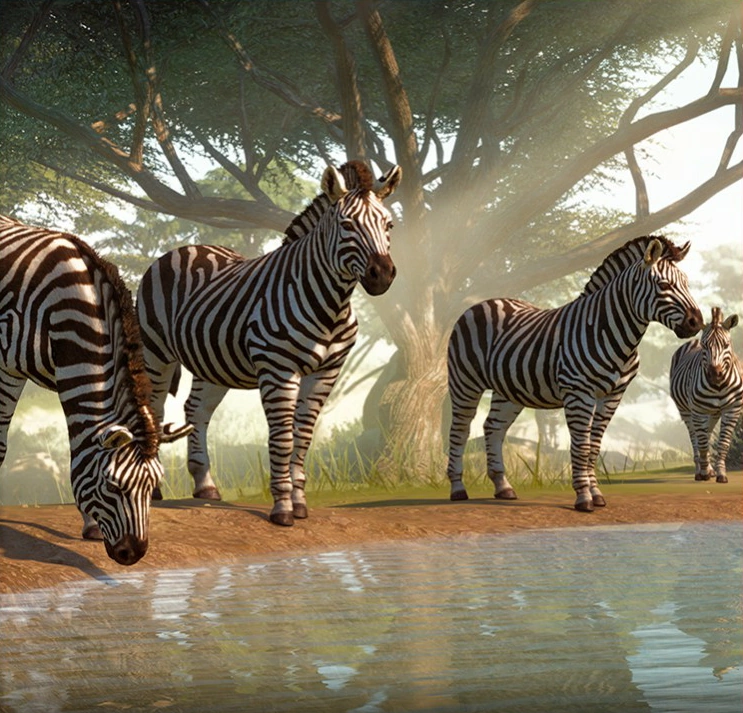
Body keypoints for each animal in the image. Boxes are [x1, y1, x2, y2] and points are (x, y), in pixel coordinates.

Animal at [0, 216, 190, 565]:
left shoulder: (57, 377)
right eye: (113, 486)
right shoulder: (5, 365)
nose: (133, 554)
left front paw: (89, 525)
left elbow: (79, 448)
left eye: (153, 487)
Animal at [137, 161, 402, 526]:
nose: (383, 276)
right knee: (156, 409)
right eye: (347, 224)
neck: (329, 303)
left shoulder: (327, 373)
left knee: (196, 410)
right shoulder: (279, 370)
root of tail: (187, 248)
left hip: (212, 361)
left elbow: (302, 437)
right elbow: (282, 438)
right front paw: (283, 508)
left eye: (388, 224)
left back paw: (205, 485)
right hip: (156, 352)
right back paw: (155, 490)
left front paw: (300, 502)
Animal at [446, 235, 703, 512]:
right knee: (460, 430)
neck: (608, 330)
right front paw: (583, 498)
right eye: (664, 284)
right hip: (464, 382)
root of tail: (484, 302)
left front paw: (596, 493)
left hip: (509, 389)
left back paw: (503, 487)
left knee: (493, 427)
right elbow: (581, 445)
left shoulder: (613, 395)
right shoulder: (579, 393)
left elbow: (594, 445)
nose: (697, 323)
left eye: (687, 284)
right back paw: (458, 489)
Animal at [670, 307, 742, 483]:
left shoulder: (732, 410)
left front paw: (721, 473)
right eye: (704, 346)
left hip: (713, 413)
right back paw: (699, 471)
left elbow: (723, 443)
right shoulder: (698, 411)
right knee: (695, 438)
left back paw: (708, 468)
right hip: (686, 412)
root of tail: (692, 341)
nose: (714, 374)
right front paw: (703, 473)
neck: (719, 386)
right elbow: (702, 444)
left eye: (726, 344)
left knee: (706, 433)